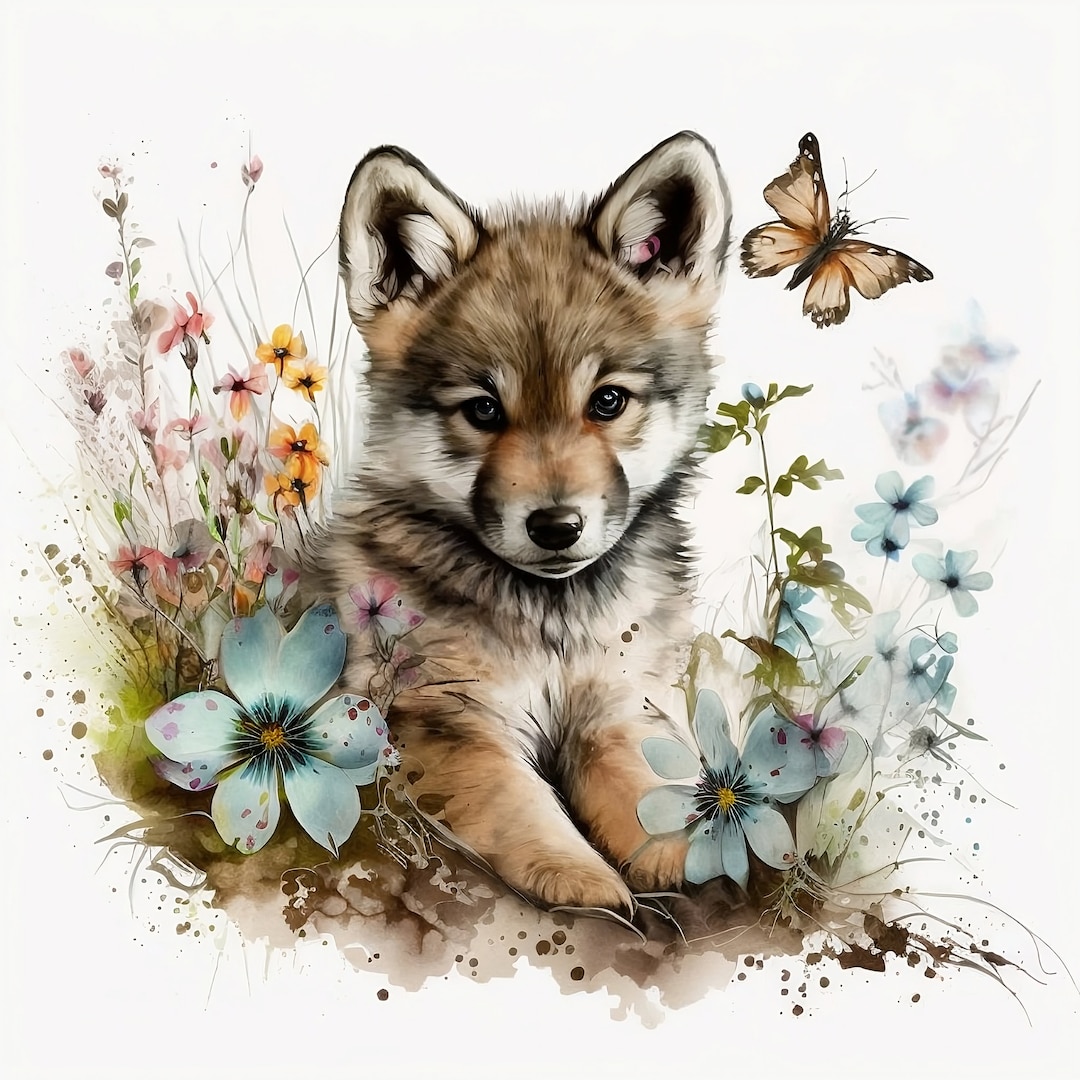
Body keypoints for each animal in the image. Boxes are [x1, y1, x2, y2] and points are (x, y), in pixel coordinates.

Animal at [311, 132, 732, 911]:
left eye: (607, 401)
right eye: (482, 409)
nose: (556, 527)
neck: (553, 623)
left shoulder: (619, 709)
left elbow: (646, 794)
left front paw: (676, 858)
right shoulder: (439, 723)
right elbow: (520, 802)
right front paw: (579, 878)